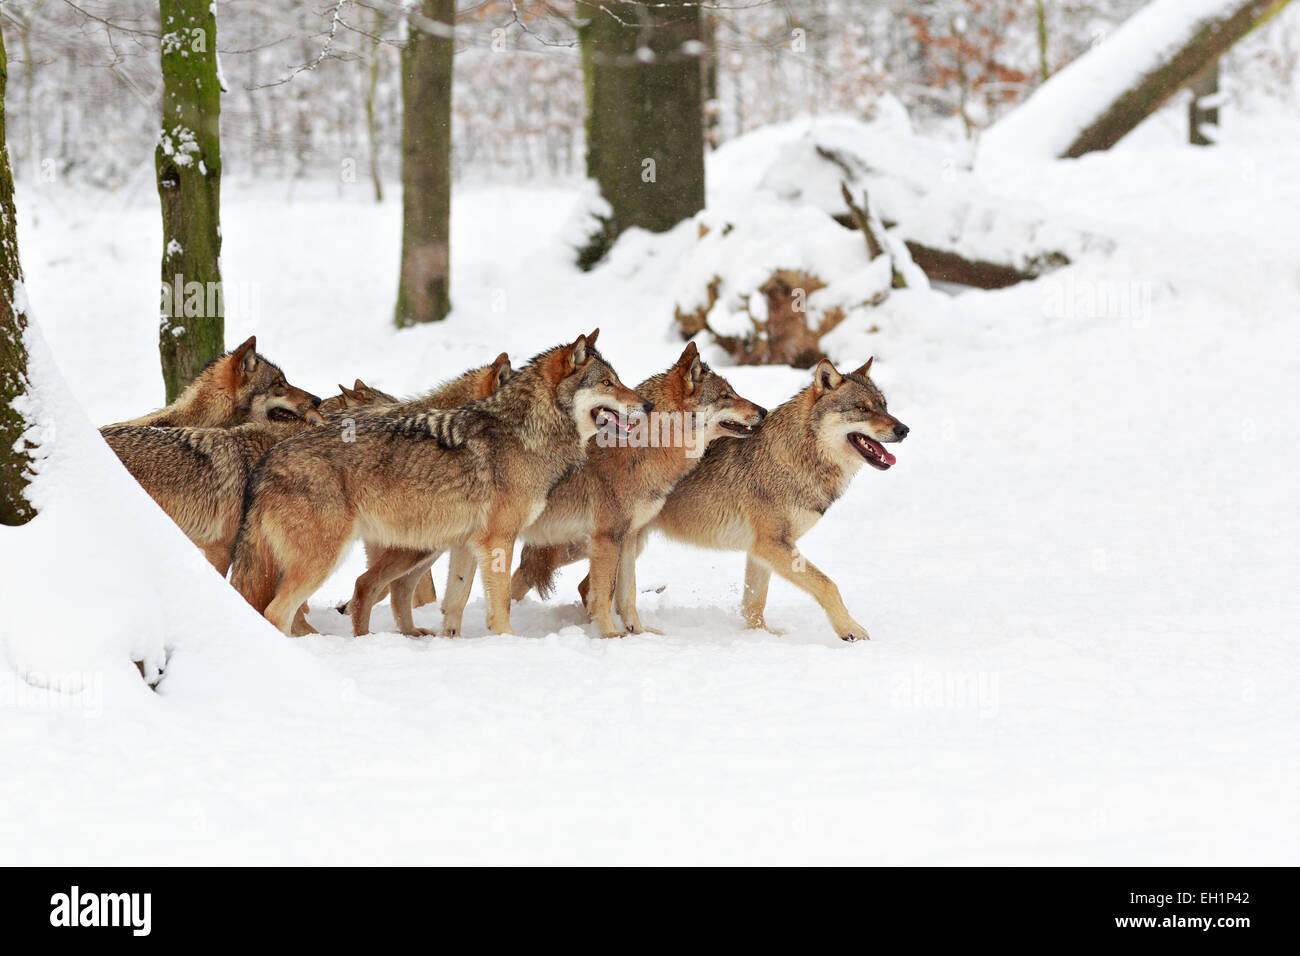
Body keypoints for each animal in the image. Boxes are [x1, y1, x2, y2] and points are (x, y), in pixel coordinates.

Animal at [230, 331, 648, 638]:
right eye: (609, 382)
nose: (646, 405)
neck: (526, 433)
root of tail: (268, 460)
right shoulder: (499, 541)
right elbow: (500, 606)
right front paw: (508, 643)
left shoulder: (466, 544)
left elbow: (455, 603)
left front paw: (452, 642)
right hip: (324, 559)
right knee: (276, 612)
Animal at [504, 342, 767, 638]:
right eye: (725, 396)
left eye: (733, 392)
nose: (764, 411)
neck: (648, 446)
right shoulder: (608, 537)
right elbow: (604, 594)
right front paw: (610, 635)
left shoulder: (628, 536)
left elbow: (628, 593)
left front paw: (638, 633)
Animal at [638, 357, 908, 642]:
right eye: (862, 408)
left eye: (884, 406)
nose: (904, 429)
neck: (797, 457)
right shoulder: (771, 543)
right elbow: (828, 585)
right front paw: (851, 631)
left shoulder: (760, 549)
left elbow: (754, 604)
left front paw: (759, 637)